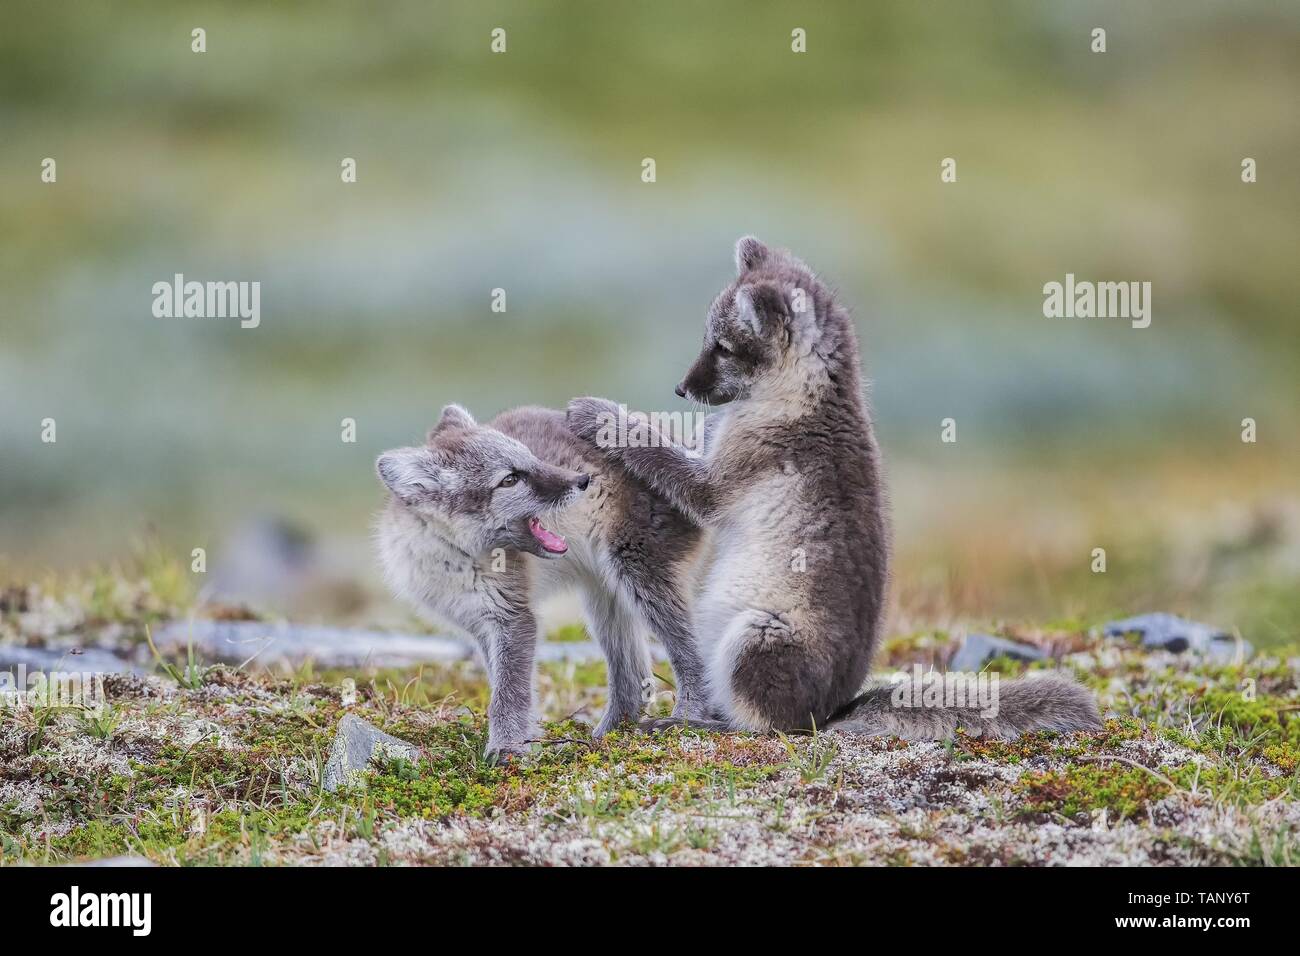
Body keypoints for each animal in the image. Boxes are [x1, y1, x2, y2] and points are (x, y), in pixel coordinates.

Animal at [374, 403, 711, 759]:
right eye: (509, 479)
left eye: (532, 457)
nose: (583, 480)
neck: (453, 555)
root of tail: (683, 448)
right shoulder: (481, 624)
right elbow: (504, 686)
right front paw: (526, 739)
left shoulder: (514, 616)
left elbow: (508, 695)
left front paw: (506, 752)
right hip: (605, 600)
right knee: (634, 681)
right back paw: (609, 736)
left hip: (640, 576)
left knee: (690, 653)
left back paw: (686, 719)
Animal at [568, 236, 1101, 739]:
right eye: (708, 339)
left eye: (722, 346)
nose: (681, 389)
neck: (806, 395)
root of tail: (833, 710)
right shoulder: (708, 445)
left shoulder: (715, 484)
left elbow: (658, 453)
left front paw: (600, 416)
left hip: (755, 635)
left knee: (768, 726)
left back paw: (696, 723)